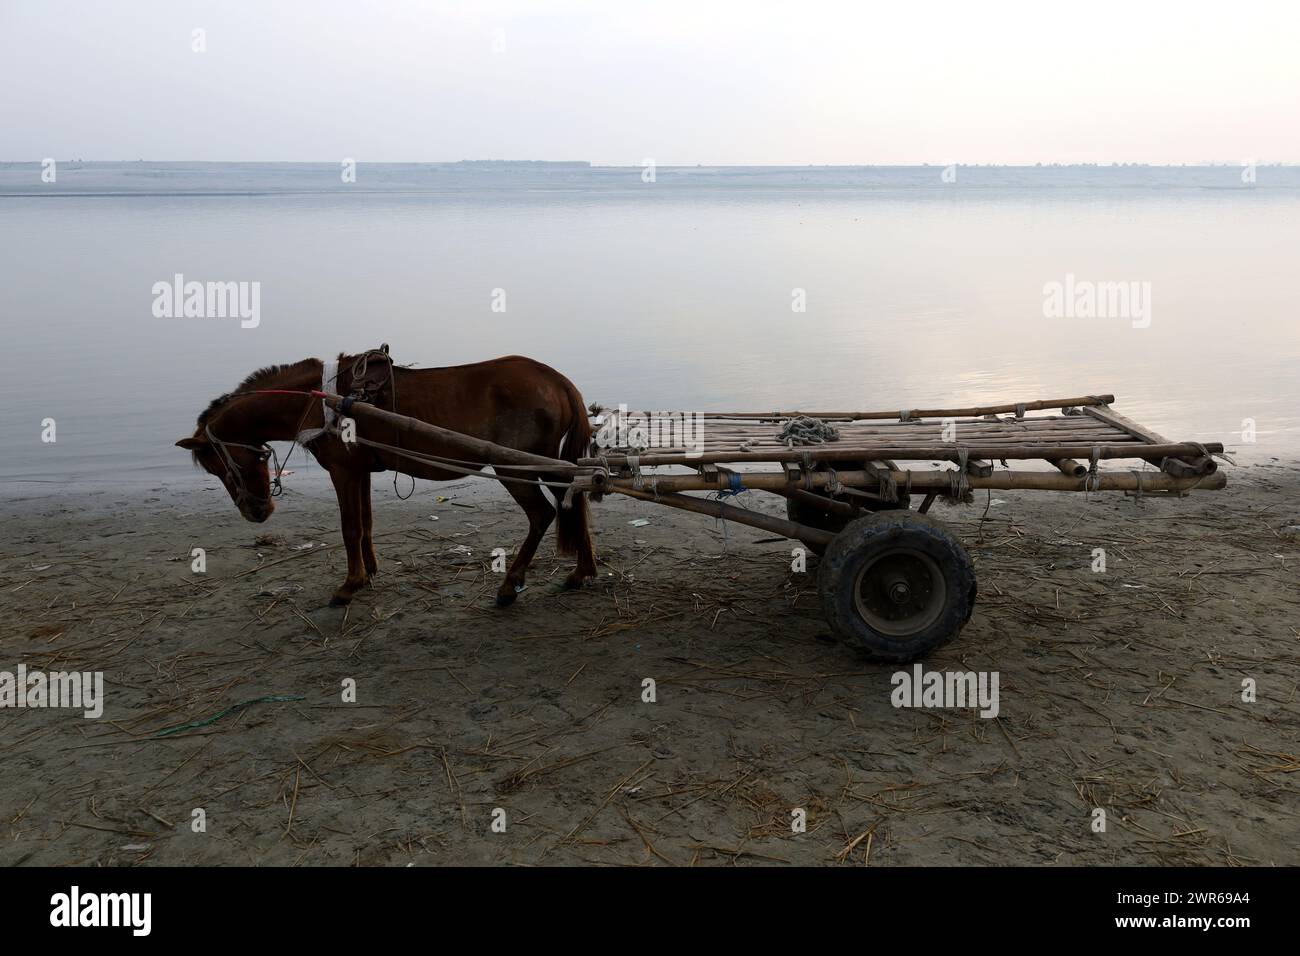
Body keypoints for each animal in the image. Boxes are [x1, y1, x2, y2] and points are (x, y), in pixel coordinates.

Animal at [176, 353, 597, 607]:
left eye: (218, 465)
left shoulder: (343, 471)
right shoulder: (359, 470)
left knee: (542, 514)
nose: (256, 511)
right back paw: (582, 571)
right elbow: (365, 524)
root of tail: (557, 380)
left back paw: (511, 584)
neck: (320, 400)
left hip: (516, 468)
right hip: (548, 464)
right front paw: (369, 572)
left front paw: (349, 585)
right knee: (576, 501)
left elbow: (349, 527)